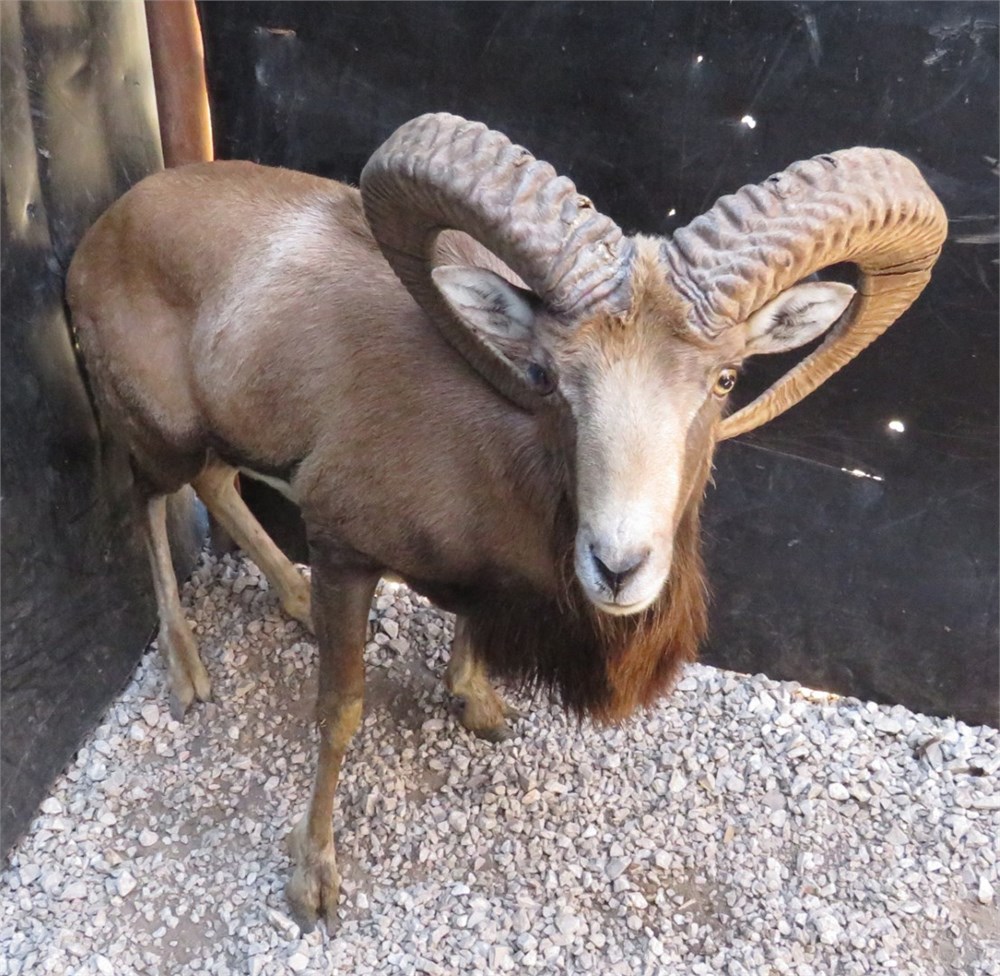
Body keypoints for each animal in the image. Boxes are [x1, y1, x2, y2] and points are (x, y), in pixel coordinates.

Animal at [65, 113, 946, 928]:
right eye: (546, 375)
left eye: (727, 377)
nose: (618, 566)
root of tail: (103, 233)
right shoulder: (345, 550)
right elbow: (339, 713)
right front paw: (312, 884)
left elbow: (468, 637)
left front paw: (477, 705)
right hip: (161, 432)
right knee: (151, 499)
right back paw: (188, 670)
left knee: (217, 484)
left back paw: (291, 599)